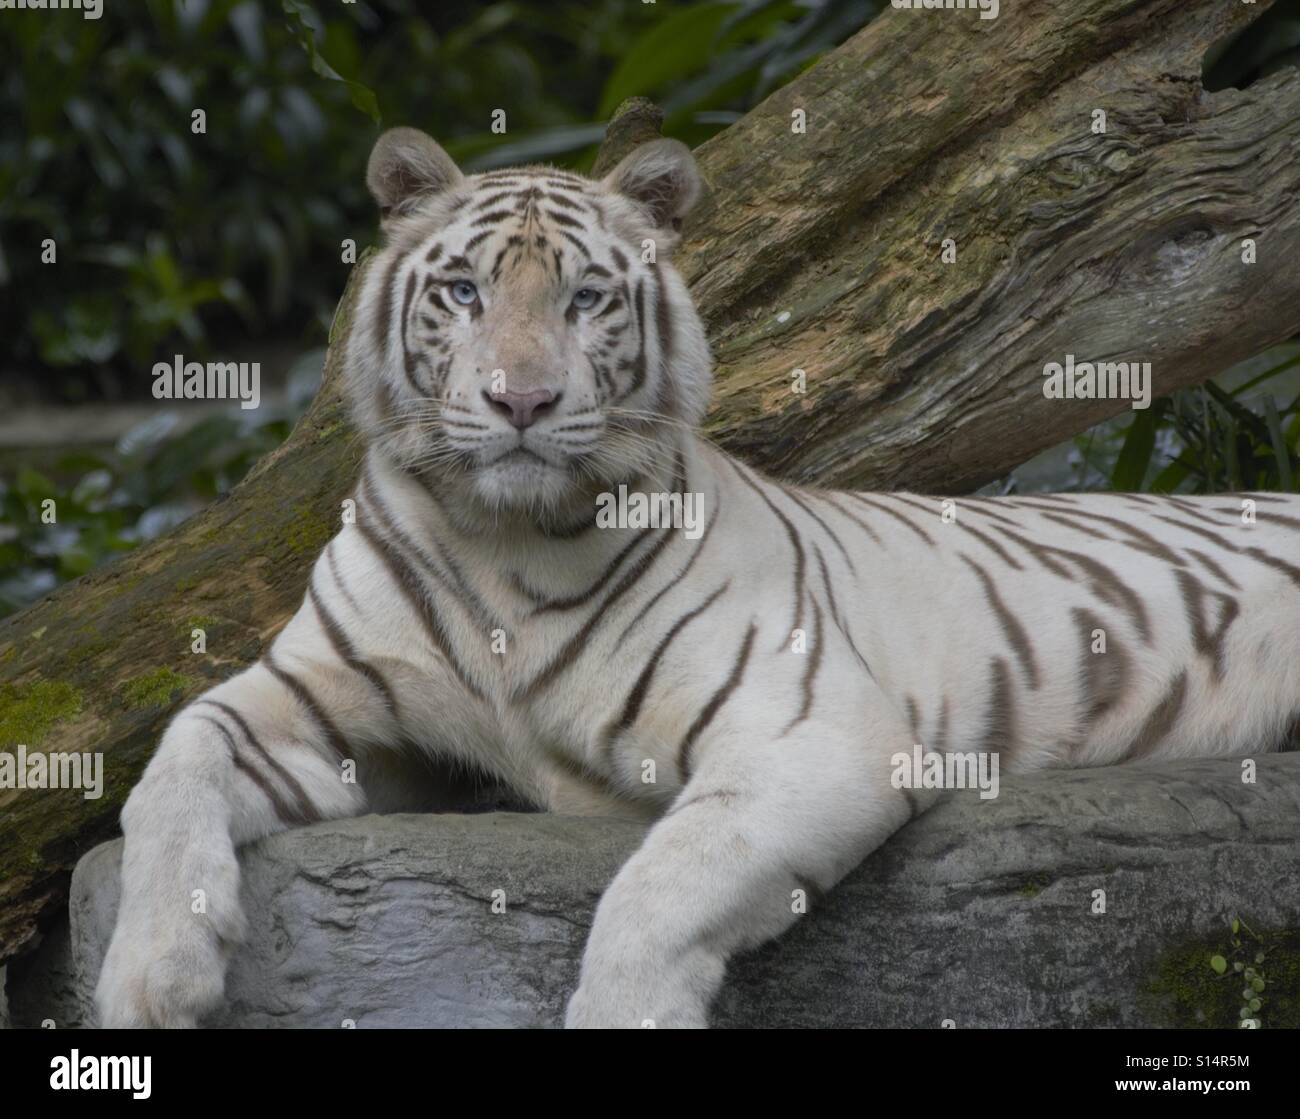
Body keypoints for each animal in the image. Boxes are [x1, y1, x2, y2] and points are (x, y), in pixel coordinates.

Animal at [95, 126, 1300, 1029]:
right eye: (463, 293)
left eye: (584, 299)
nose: (520, 401)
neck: (501, 538)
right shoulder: (321, 704)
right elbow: (172, 764)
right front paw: (151, 979)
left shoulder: (809, 735)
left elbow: (657, 884)